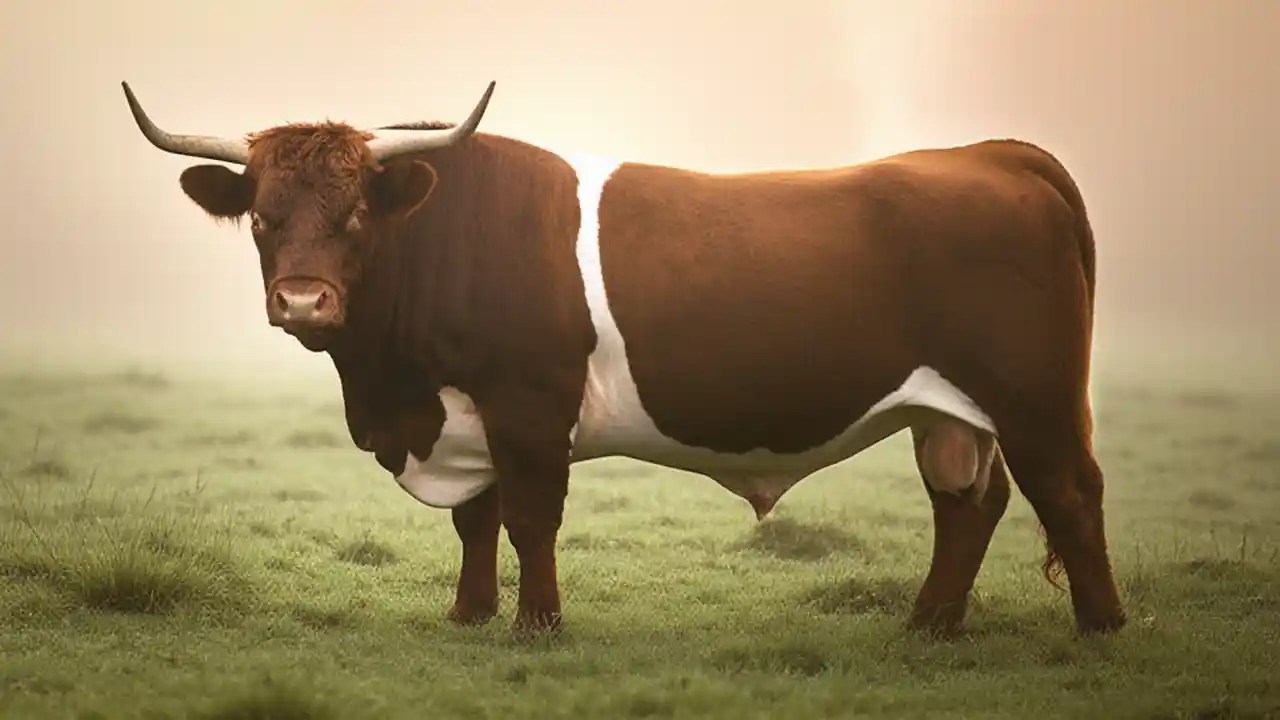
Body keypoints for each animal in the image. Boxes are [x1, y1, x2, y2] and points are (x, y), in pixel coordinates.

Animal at [120, 80, 1126, 638]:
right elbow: (476, 521)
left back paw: (1101, 626)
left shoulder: (528, 404)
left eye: (357, 212)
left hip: (1034, 398)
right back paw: (928, 626)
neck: (395, 393)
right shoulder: (468, 414)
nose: (302, 301)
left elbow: (529, 518)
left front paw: (537, 624)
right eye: (263, 216)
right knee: (969, 502)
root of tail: (992, 154)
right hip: (947, 409)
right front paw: (470, 614)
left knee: (1068, 493)